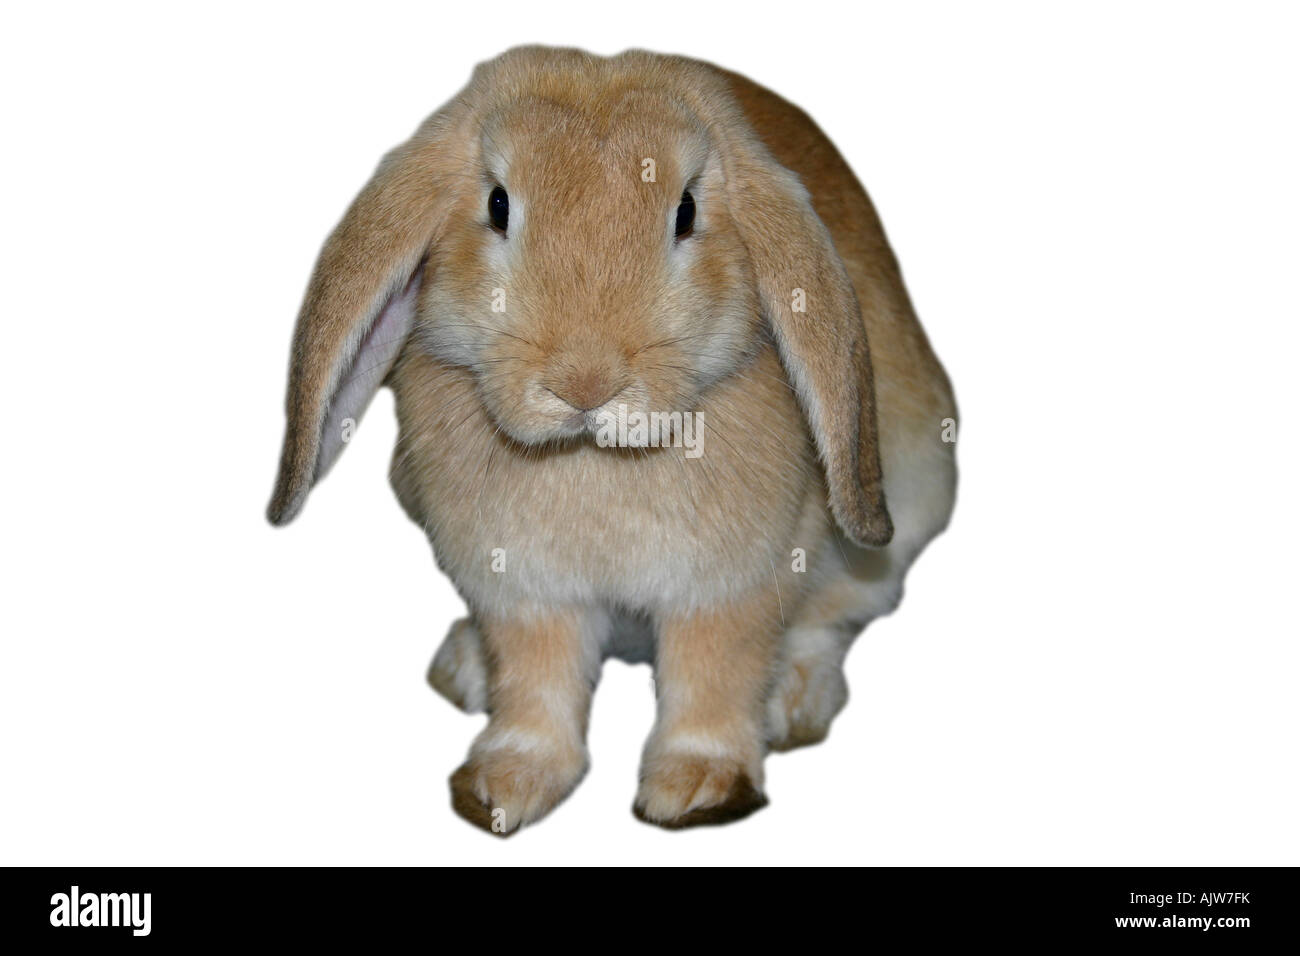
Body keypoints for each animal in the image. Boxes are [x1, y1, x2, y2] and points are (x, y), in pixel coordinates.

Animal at [267, 46, 957, 835]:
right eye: (498, 205)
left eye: (686, 212)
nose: (585, 382)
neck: (594, 457)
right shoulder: (522, 590)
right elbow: (537, 681)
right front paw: (503, 786)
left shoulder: (730, 584)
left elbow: (714, 674)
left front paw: (698, 788)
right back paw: (465, 666)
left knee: (835, 617)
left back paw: (795, 697)